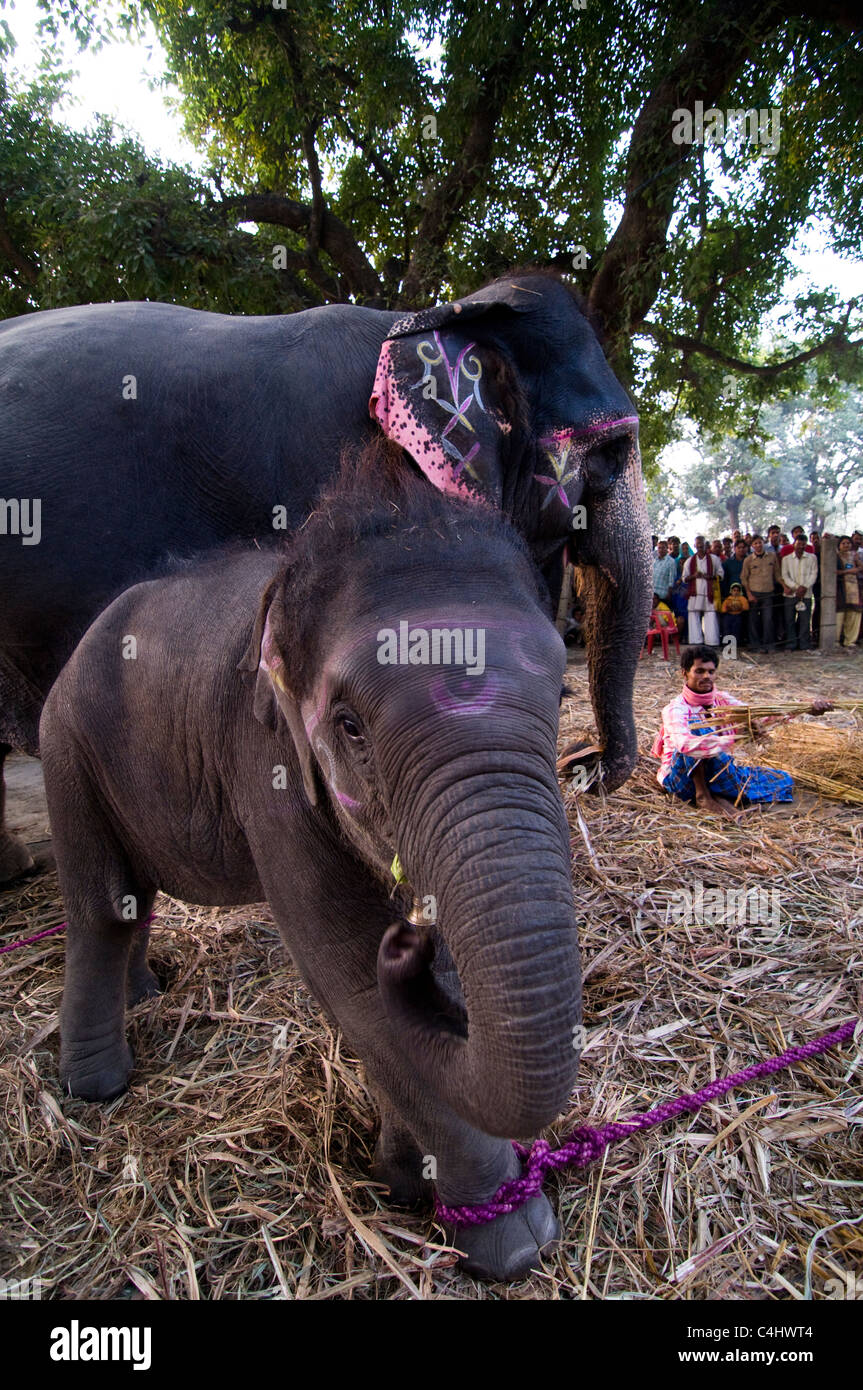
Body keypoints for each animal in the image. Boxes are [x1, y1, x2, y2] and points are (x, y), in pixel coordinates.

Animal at [42, 446, 582, 1282]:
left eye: (559, 693)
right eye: (349, 726)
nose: (408, 941)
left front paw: (403, 1179)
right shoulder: (264, 765)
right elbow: (351, 981)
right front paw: (513, 1240)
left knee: (134, 900)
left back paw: (144, 993)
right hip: (67, 745)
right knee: (103, 906)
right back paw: (98, 1086)